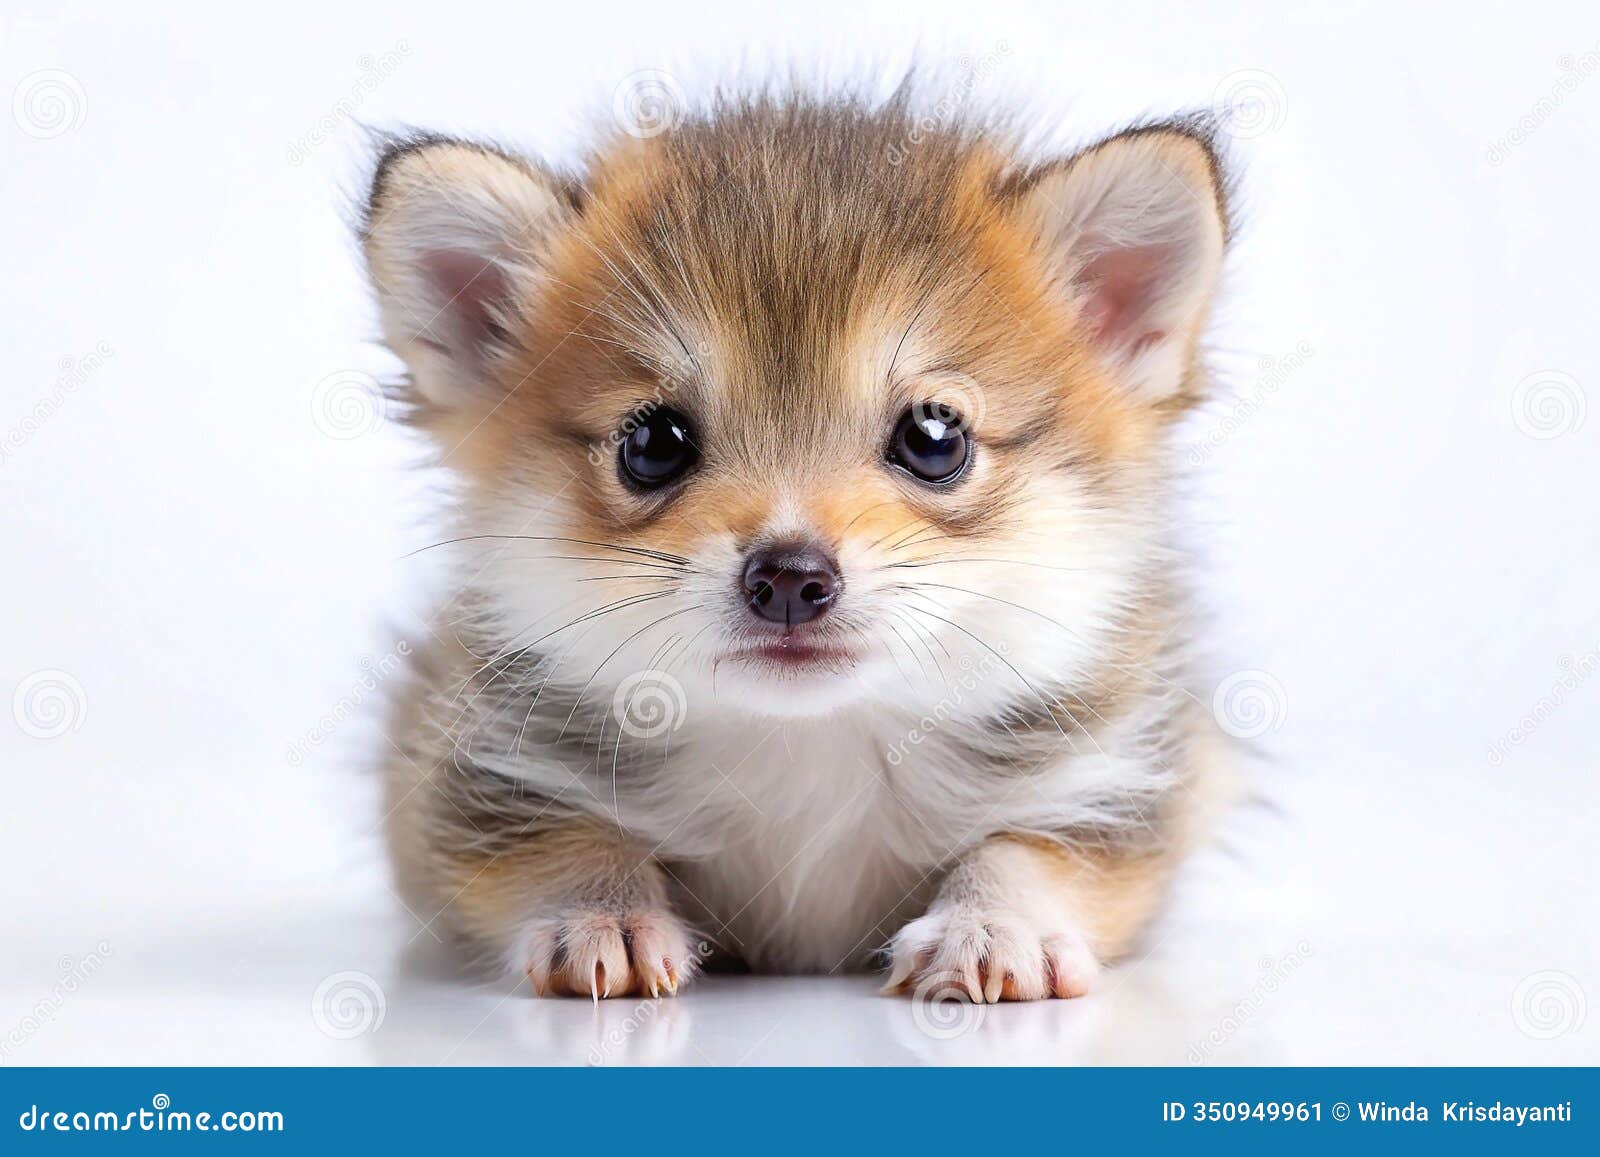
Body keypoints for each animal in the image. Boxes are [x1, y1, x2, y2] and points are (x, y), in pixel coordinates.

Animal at [364, 88, 1234, 1002]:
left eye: (935, 437)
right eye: (653, 443)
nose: (789, 576)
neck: (813, 745)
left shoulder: (1116, 776)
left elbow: (1031, 849)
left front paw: (994, 924)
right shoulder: (479, 776)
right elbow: (559, 840)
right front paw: (601, 914)